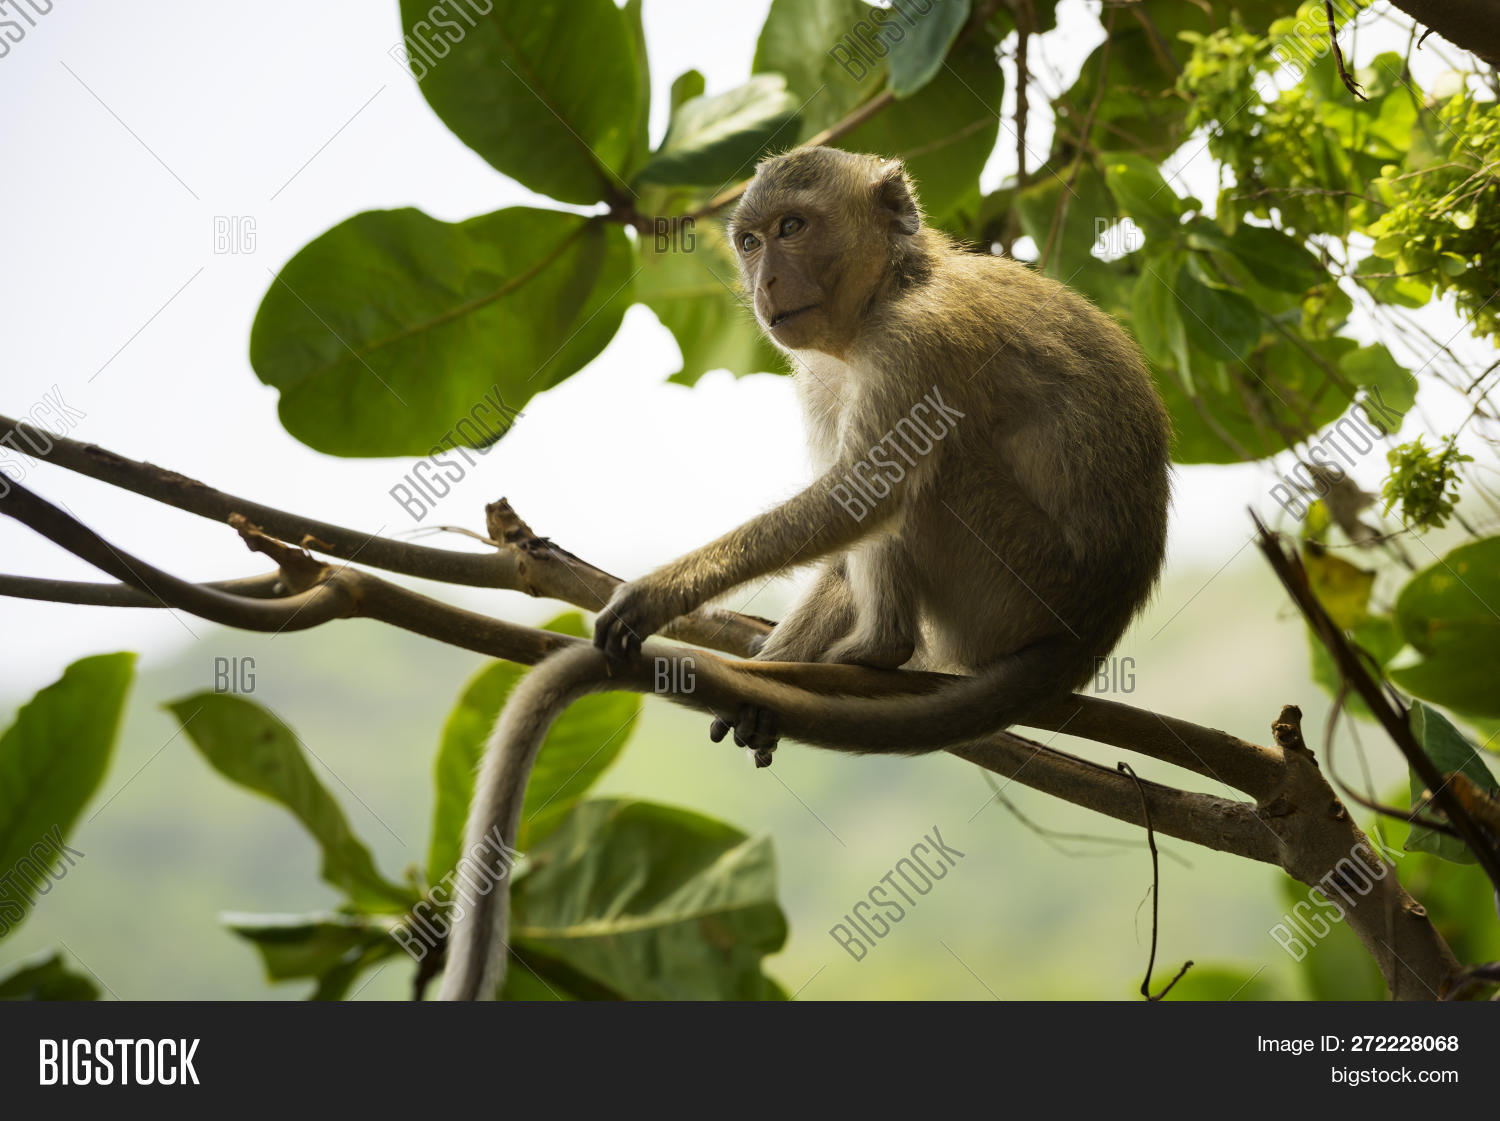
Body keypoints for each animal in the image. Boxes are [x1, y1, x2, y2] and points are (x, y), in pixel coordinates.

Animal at [437, 146, 1171, 1000]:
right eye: (751, 241)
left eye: (793, 227)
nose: (766, 280)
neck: (896, 284)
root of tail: (1092, 630)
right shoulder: (824, 375)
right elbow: (839, 541)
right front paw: (768, 680)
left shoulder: (912, 345)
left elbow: (862, 496)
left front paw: (658, 594)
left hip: (1011, 583)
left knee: (920, 480)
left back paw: (880, 649)